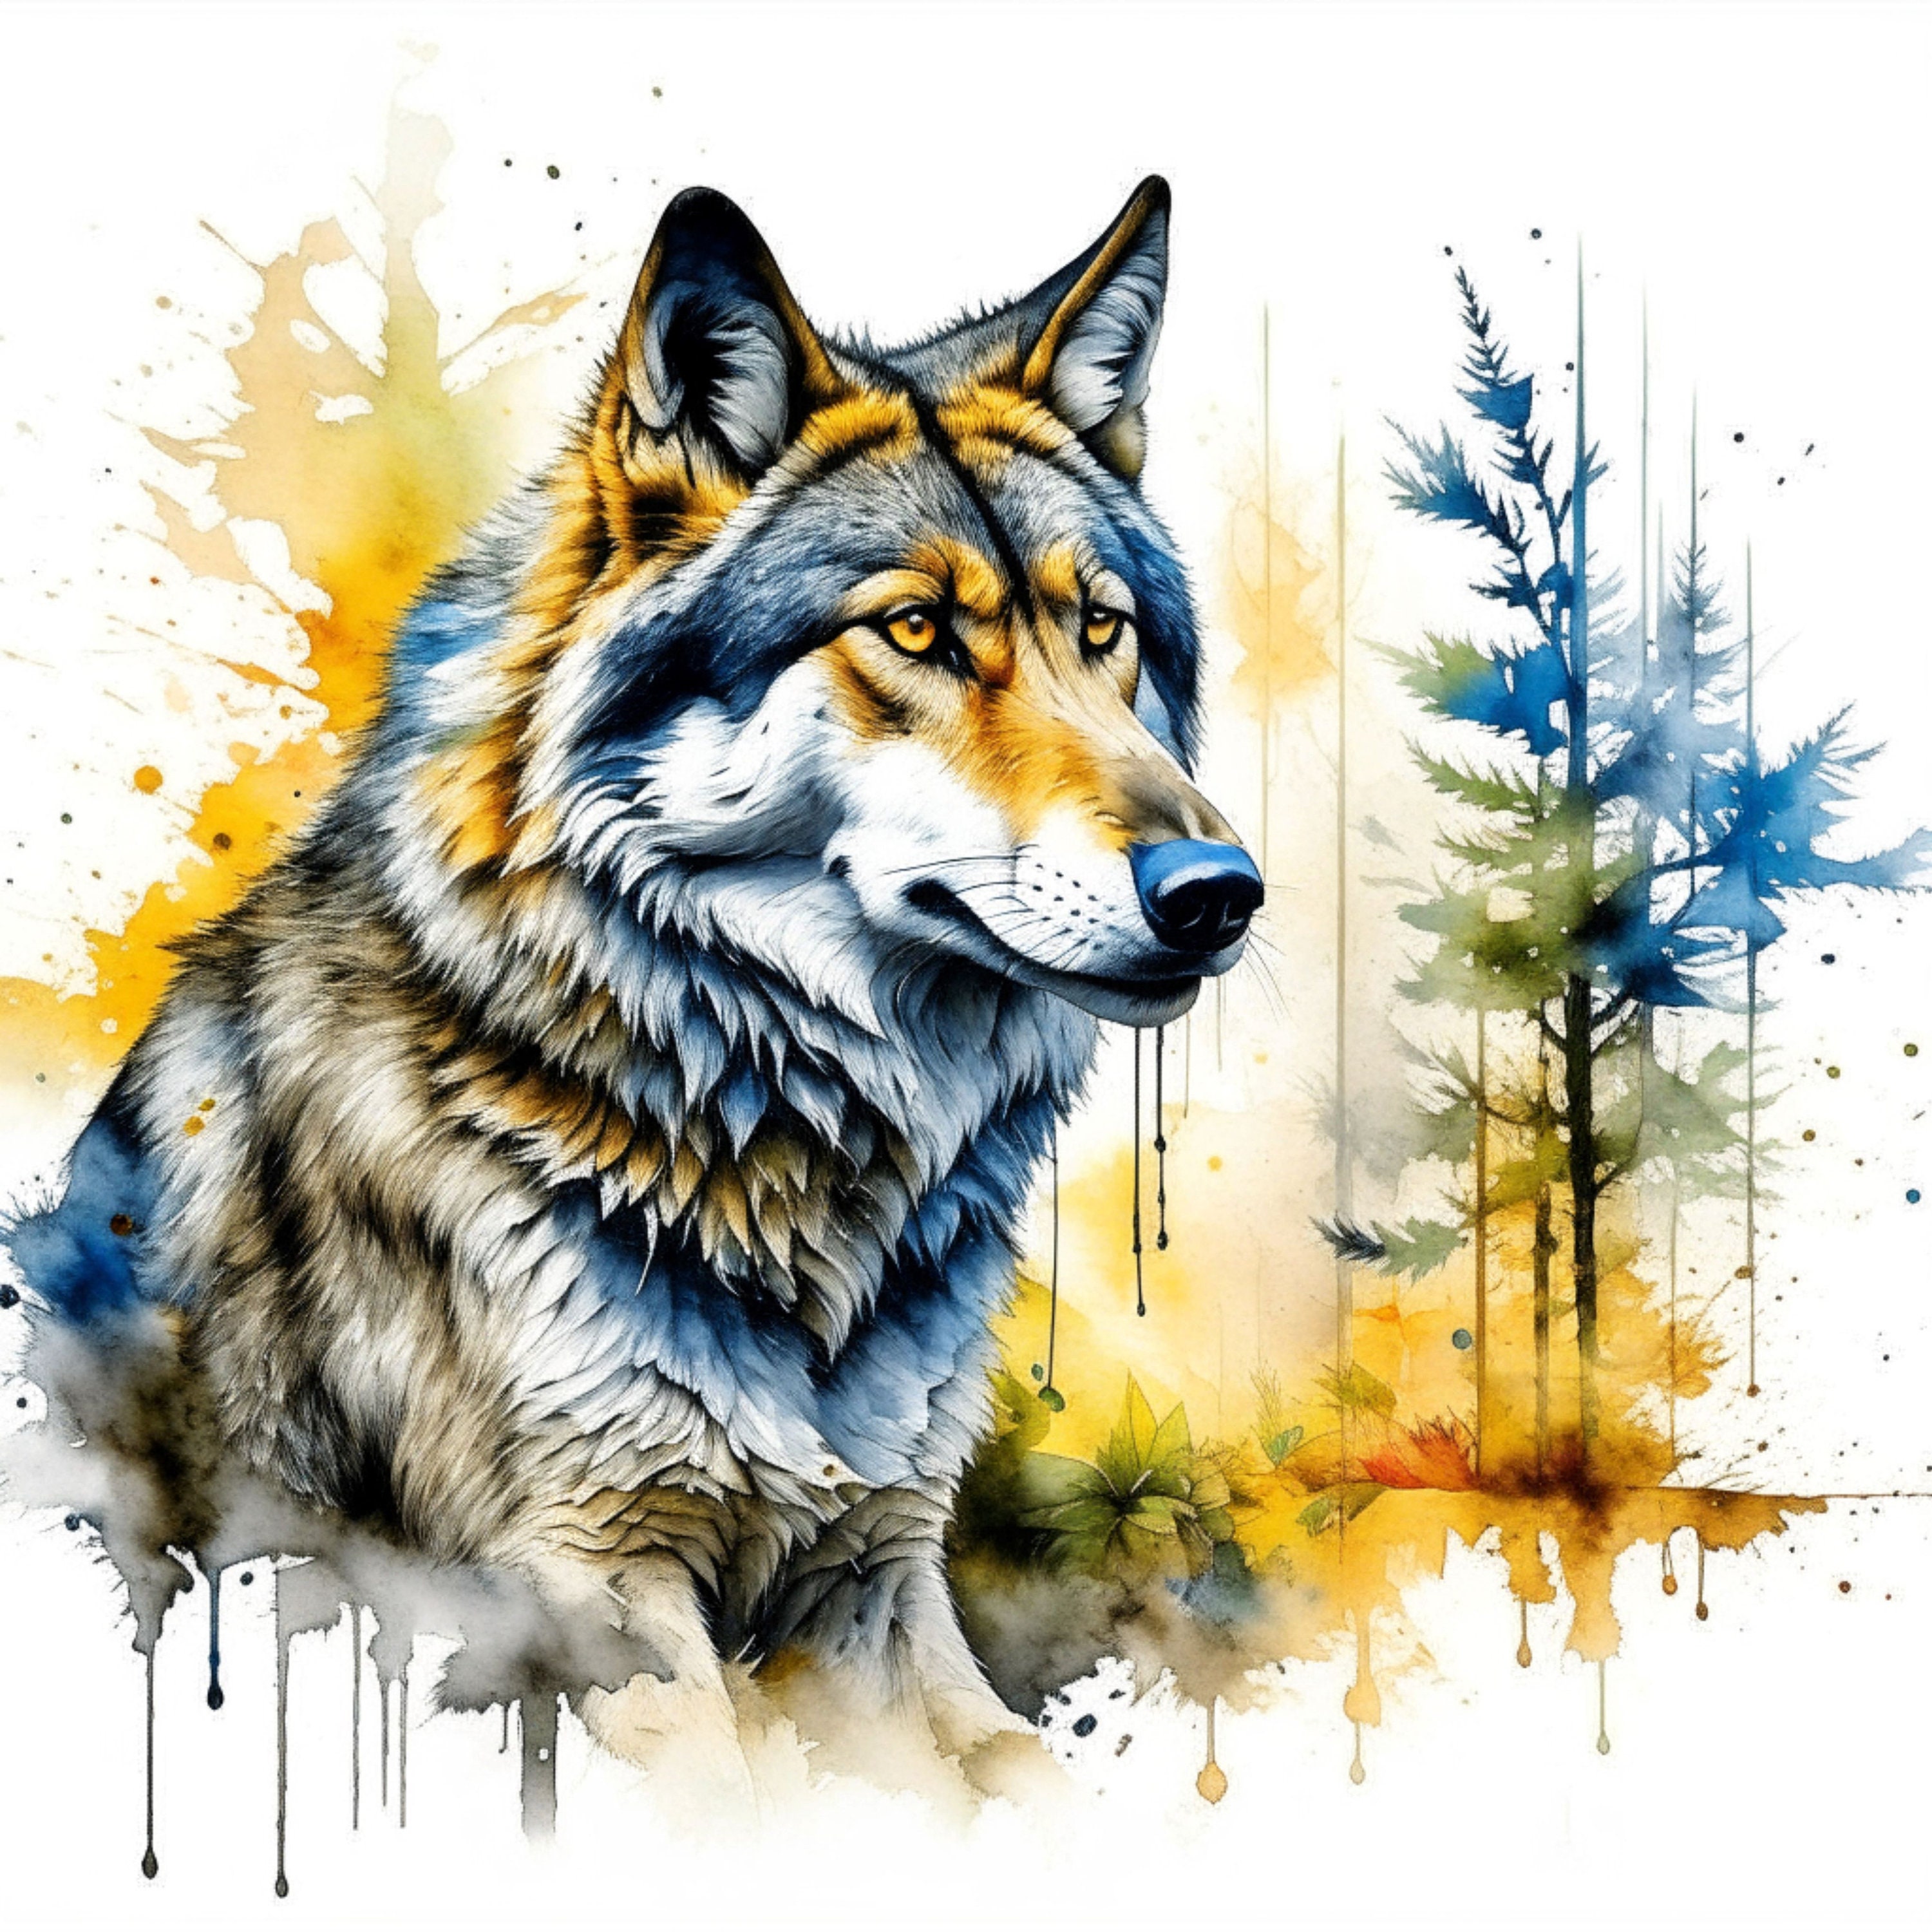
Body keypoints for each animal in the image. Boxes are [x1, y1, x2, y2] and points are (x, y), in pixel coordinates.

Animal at [4, 176, 1261, 1779]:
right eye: (915, 629)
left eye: (1101, 628)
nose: (1219, 895)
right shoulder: (592, 1594)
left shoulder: (878, 1566)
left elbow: (993, 1766)